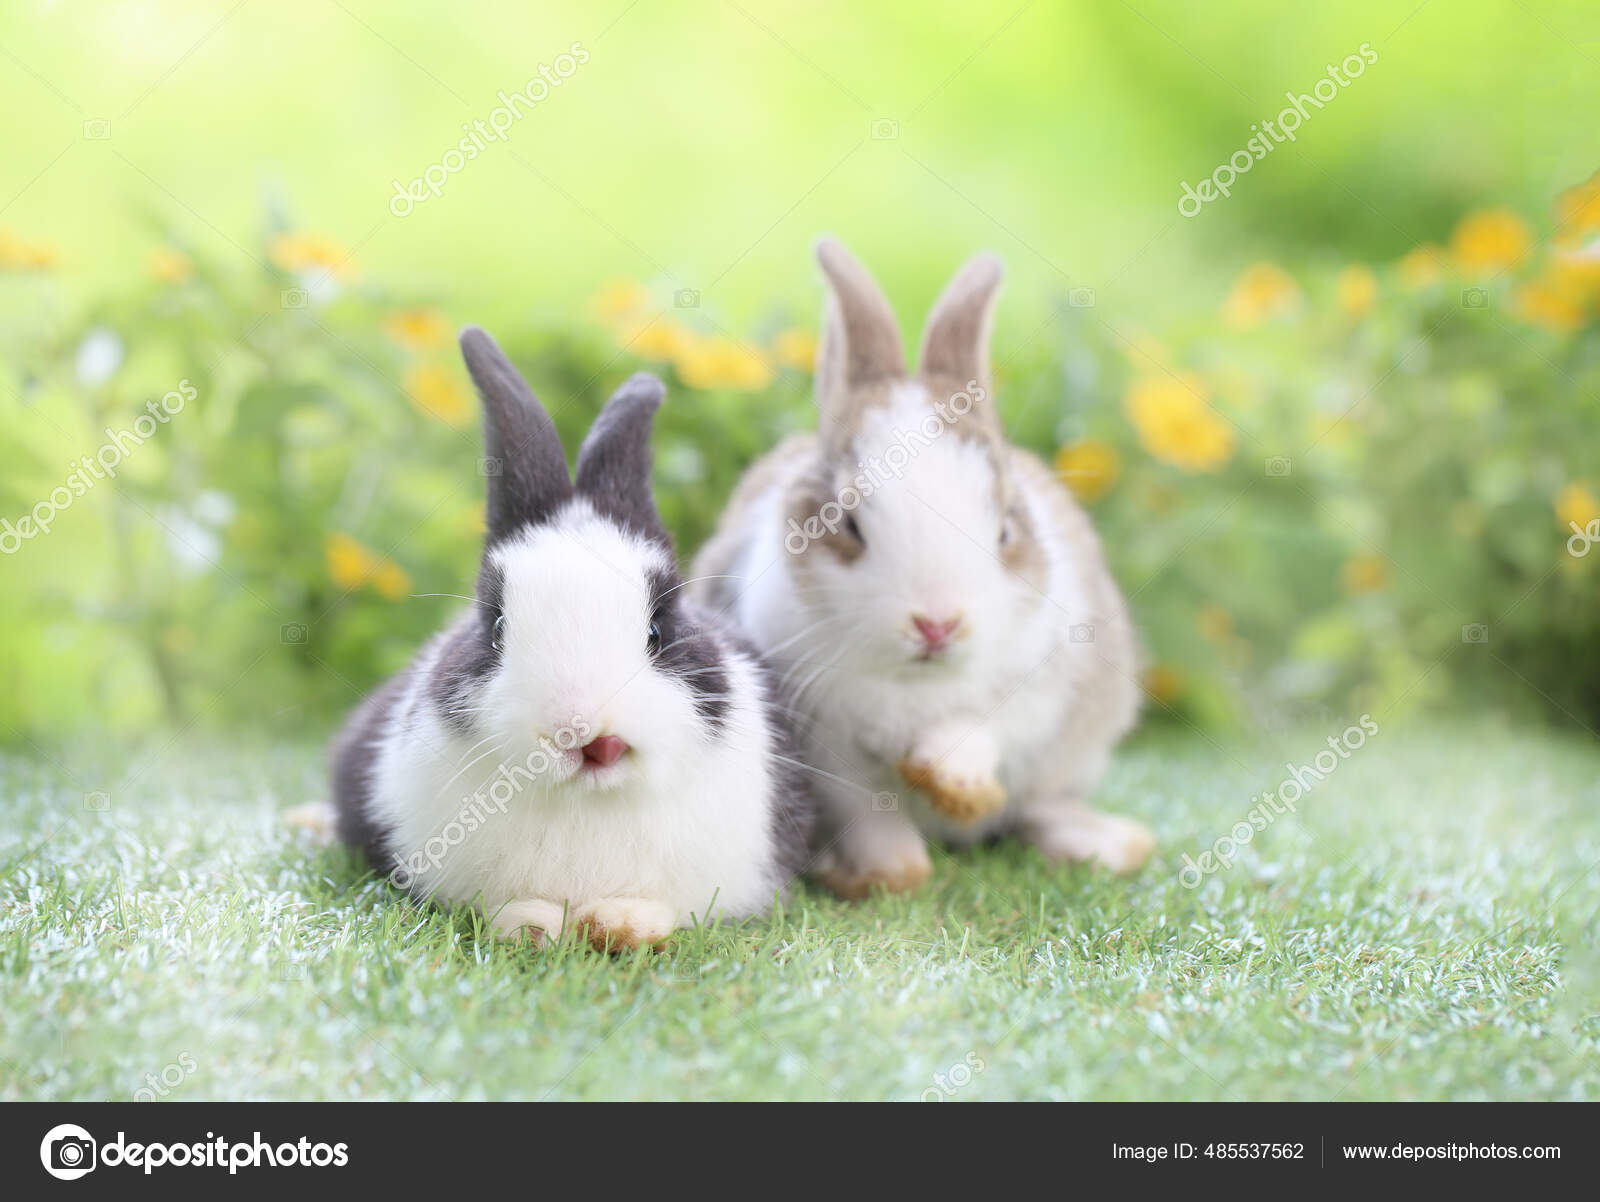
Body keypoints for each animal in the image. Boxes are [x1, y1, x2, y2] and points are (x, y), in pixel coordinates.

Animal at [331, 327, 813, 950]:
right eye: (496, 627)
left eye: (658, 629)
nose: (583, 734)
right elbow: (506, 908)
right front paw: (531, 928)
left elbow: (661, 907)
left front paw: (622, 926)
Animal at [691, 239, 1153, 898]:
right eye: (847, 524)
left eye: (1005, 529)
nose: (938, 623)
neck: (917, 684)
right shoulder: (829, 750)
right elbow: (876, 825)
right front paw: (872, 874)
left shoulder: (1038, 688)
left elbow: (986, 730)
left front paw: (953, 782)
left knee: (1041, 804)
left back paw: (1109, 845)